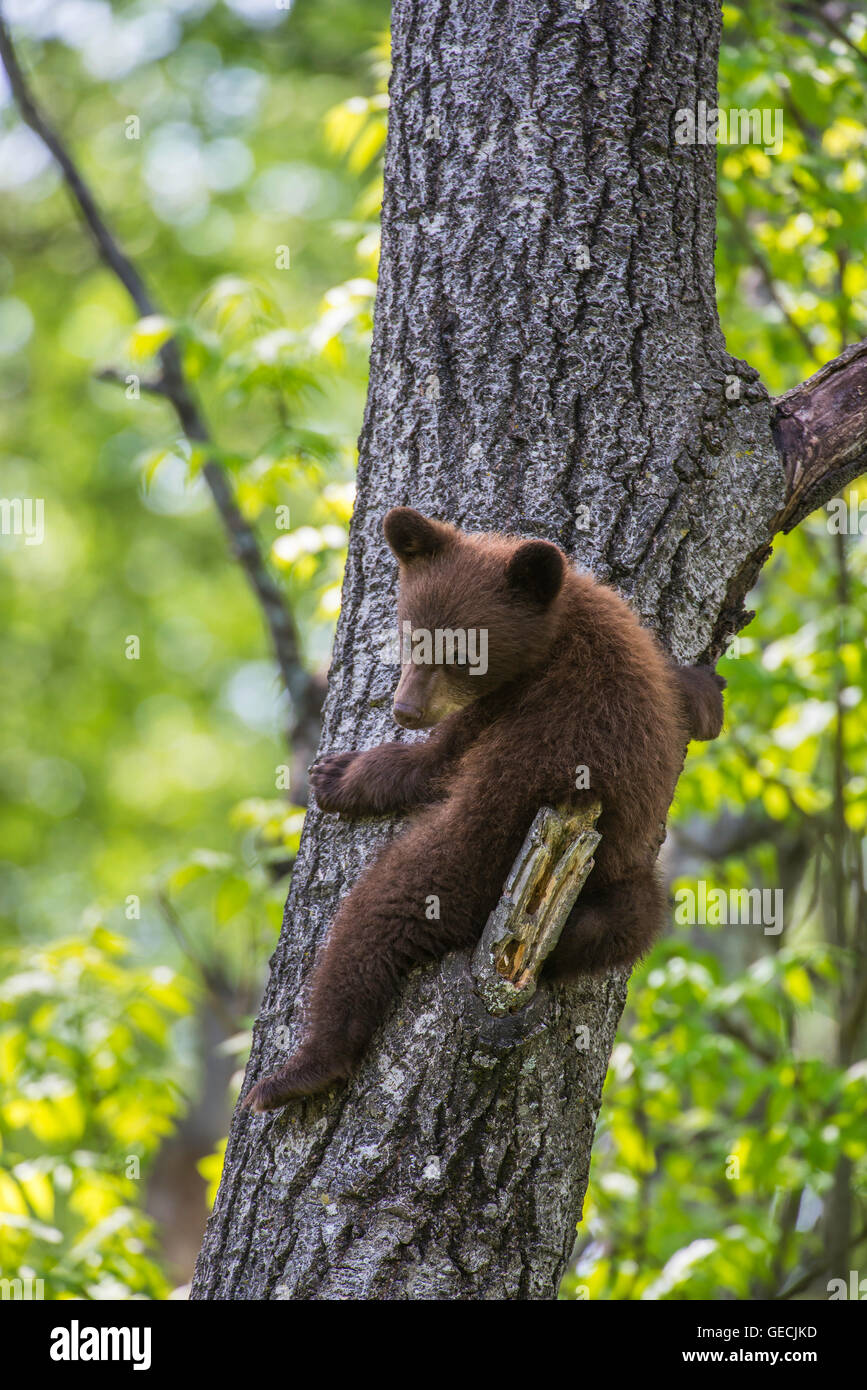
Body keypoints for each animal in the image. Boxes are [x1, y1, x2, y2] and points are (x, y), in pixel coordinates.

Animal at [244, 507, 725, 1113]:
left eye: (463, 654)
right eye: (412, 635)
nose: (404, 710)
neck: (556, 634)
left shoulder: (518, 713)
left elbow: (437, 762)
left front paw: (340, 774)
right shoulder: (634, 645)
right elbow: (683, 696)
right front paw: (706, 687)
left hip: (466, 870)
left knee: (371, 921)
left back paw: (301, 1069)